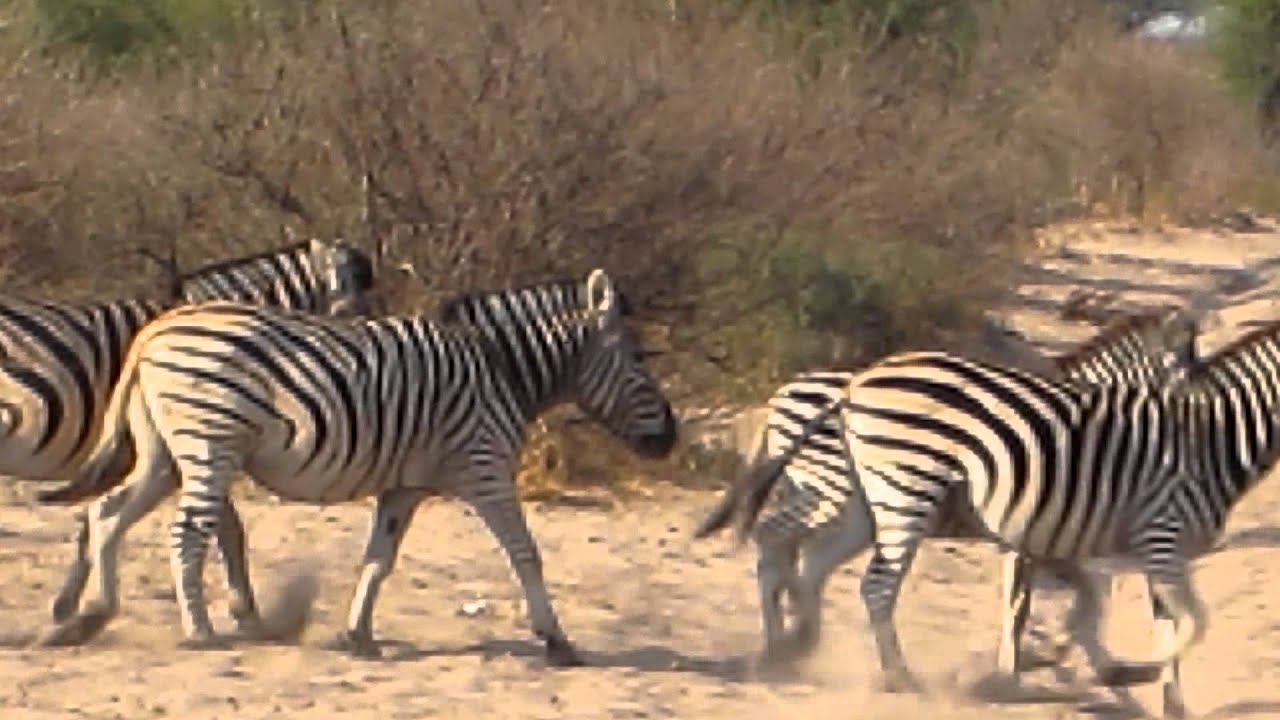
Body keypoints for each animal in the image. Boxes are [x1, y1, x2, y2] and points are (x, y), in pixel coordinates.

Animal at [36, 269, 677, 665]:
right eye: (639, 363)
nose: (669, 440)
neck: (501, 369)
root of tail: (154, 331)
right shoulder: (486, 470)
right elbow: (526, 553)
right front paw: (557, 639)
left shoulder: (405, 486)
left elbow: (379, 558)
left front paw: (358, 635)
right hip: (209, 440)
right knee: (186, 531)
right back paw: (198, 631)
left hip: (165, 453)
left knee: (108, 512)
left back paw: (90, 616)